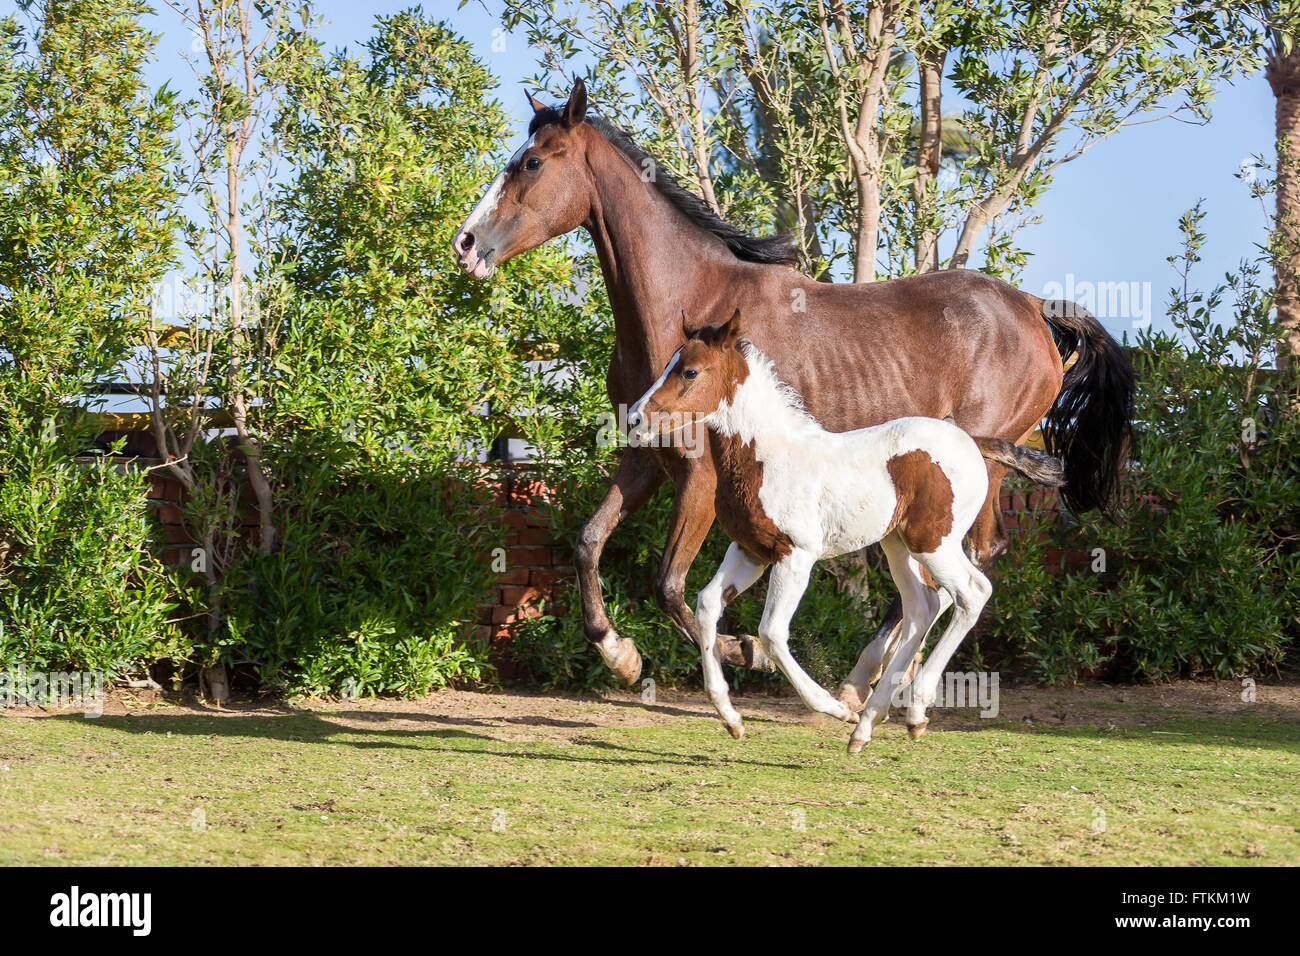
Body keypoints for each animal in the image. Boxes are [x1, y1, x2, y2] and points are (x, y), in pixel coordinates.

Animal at [627, 311, 1066, 750]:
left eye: (689, 371)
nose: (635, 419)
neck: (767, 456)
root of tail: (972, 442)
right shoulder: (750, 552)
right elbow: (706, 605)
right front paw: (731, 718)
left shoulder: (796, 556)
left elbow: (771, 633)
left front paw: (832, 708)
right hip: (898, 546)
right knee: (921, 606)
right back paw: (869, 721)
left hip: (934, 543)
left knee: (971, 594)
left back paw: (910, 710)